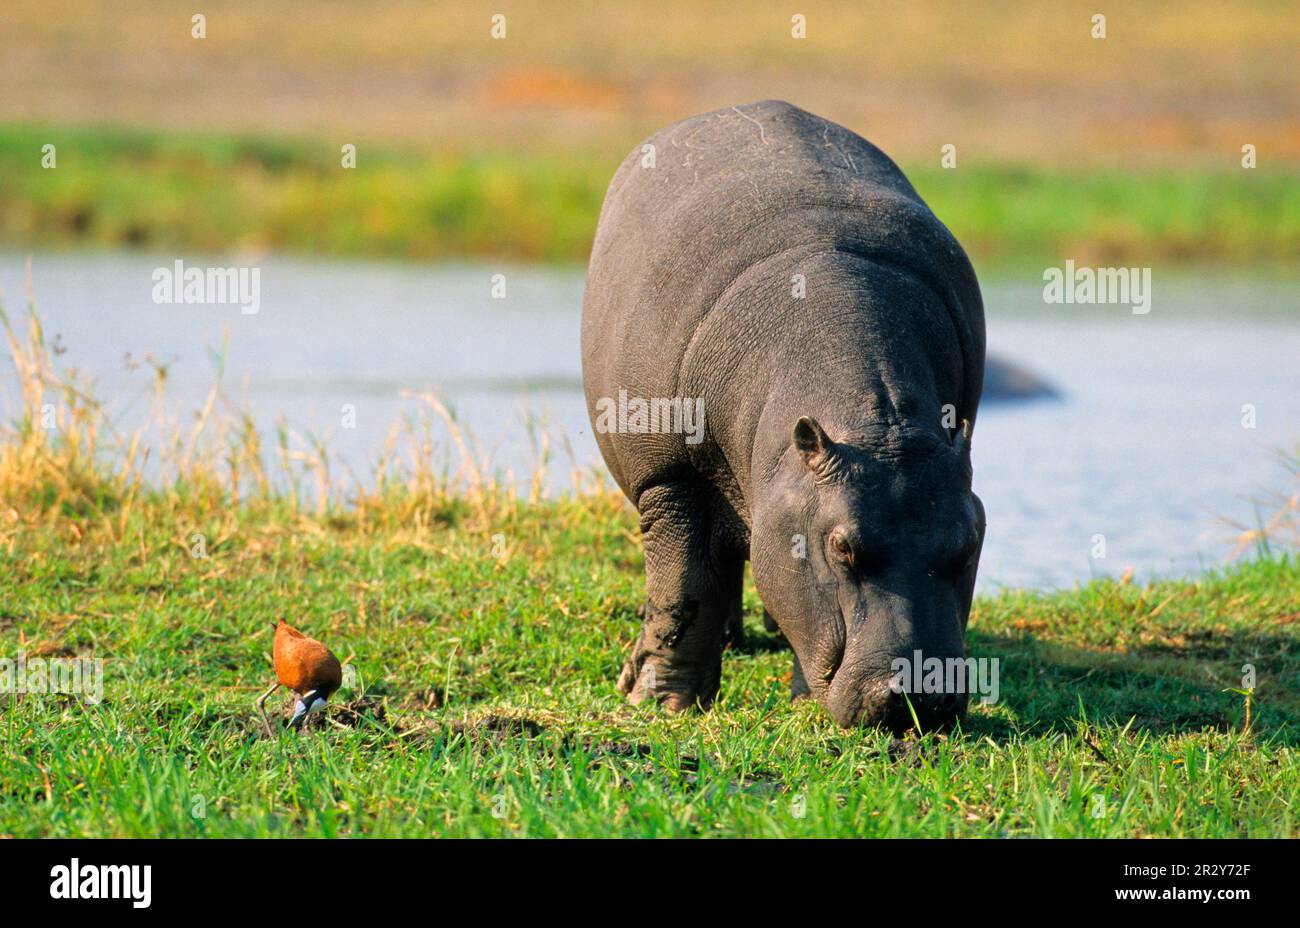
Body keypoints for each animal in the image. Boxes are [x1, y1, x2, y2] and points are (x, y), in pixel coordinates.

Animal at [581, 100, 986, 732]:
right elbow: (682, 590)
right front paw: (657, 703)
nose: (922, 698)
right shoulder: (670, 479)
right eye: (841, 547)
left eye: (970, 541)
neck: (875, 427)